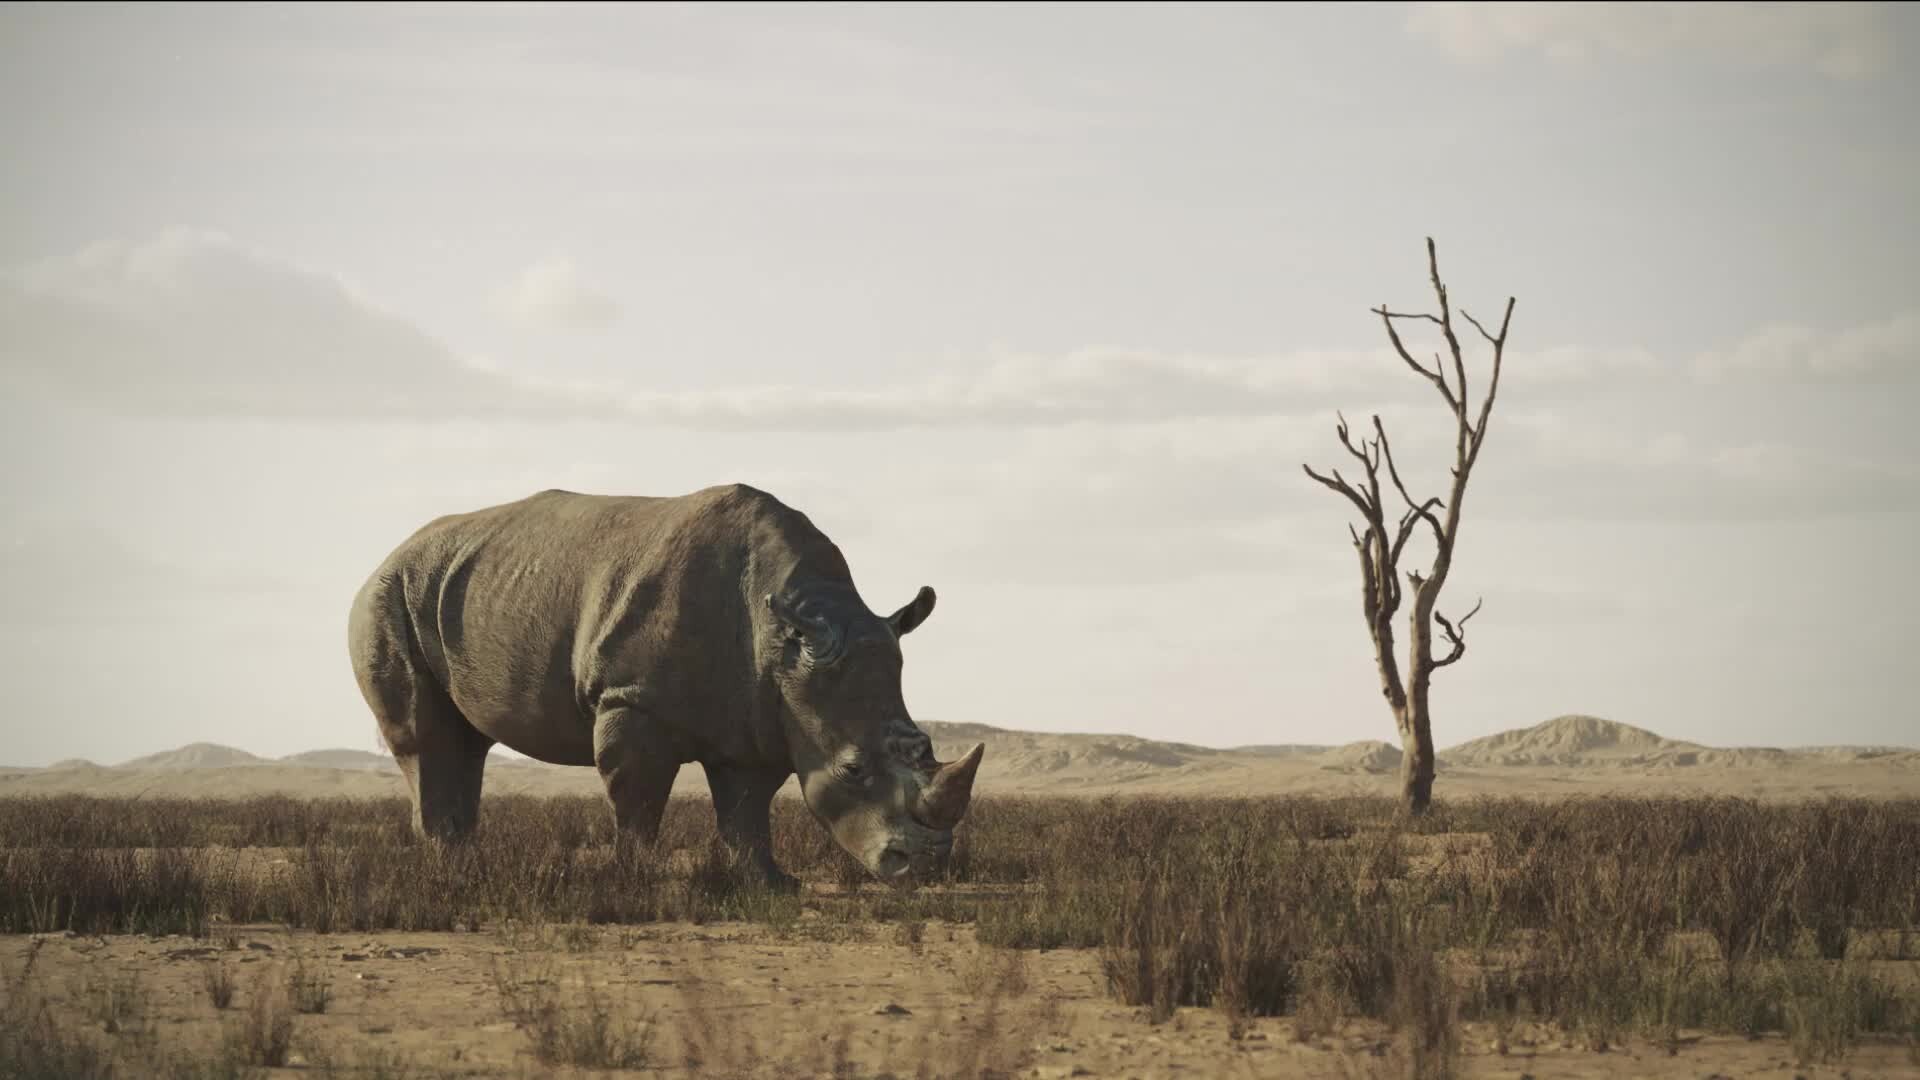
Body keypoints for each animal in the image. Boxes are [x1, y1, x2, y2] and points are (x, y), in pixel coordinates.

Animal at [347, 483, 984, 887]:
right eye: (852, 770)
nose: (925, 868)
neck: (789, 634)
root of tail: (391, 551)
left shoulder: (763, 714)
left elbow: (747, 809)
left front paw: (774, 886)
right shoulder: (632, 696)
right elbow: (638, 797)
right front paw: (637, 880)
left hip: (452, 588)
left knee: (465, 740)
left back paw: (463, 867)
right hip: (388, 594)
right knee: (426, 739)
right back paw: (449, 872)